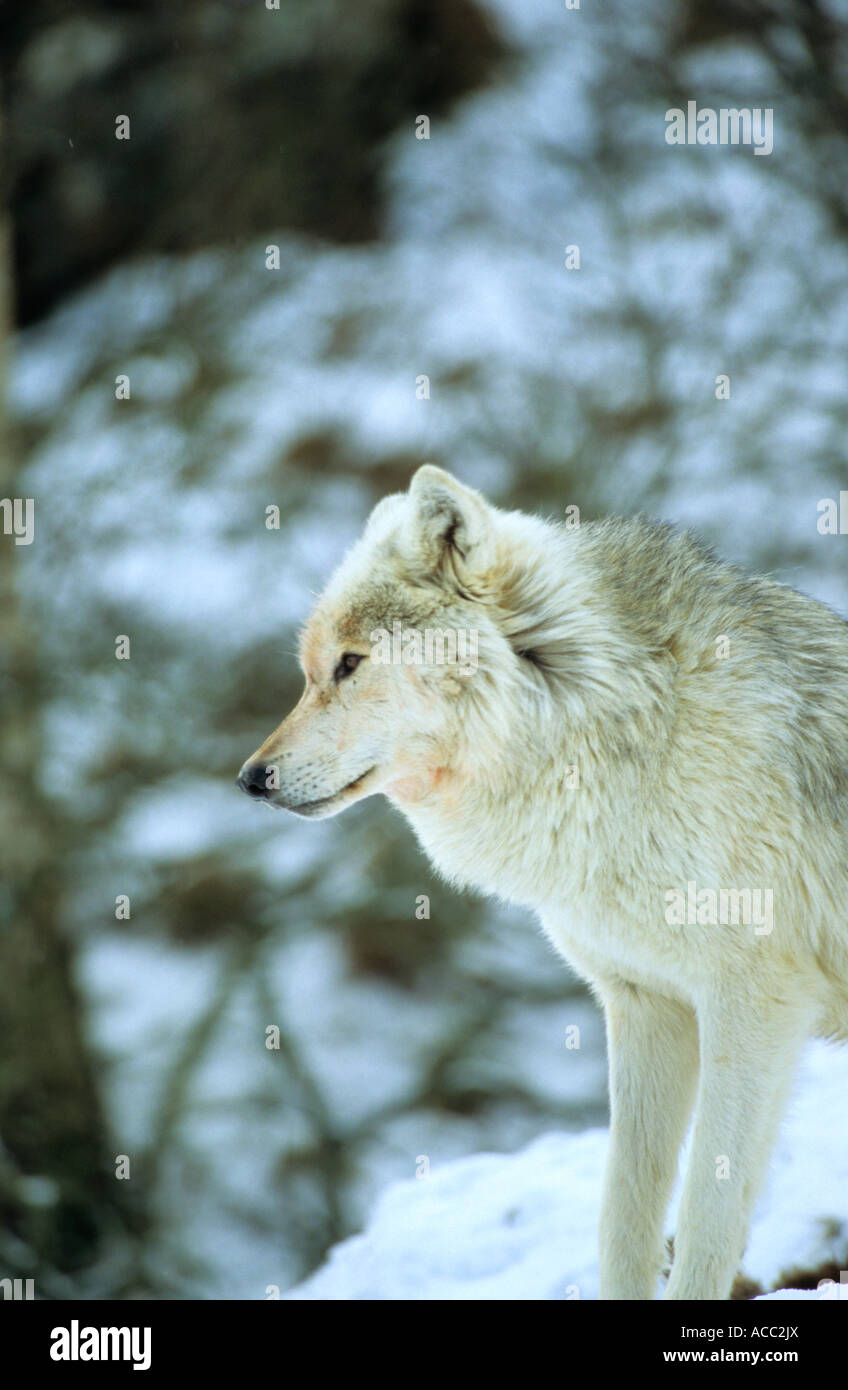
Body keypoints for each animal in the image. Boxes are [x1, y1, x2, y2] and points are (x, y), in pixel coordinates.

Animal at [239, 465, 848, 1300]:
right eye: (310, 673)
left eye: (350, 664)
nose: (249, 778)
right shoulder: (645, 1006)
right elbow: (623, 1218)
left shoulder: (755, 1009)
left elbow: (706, 1222)